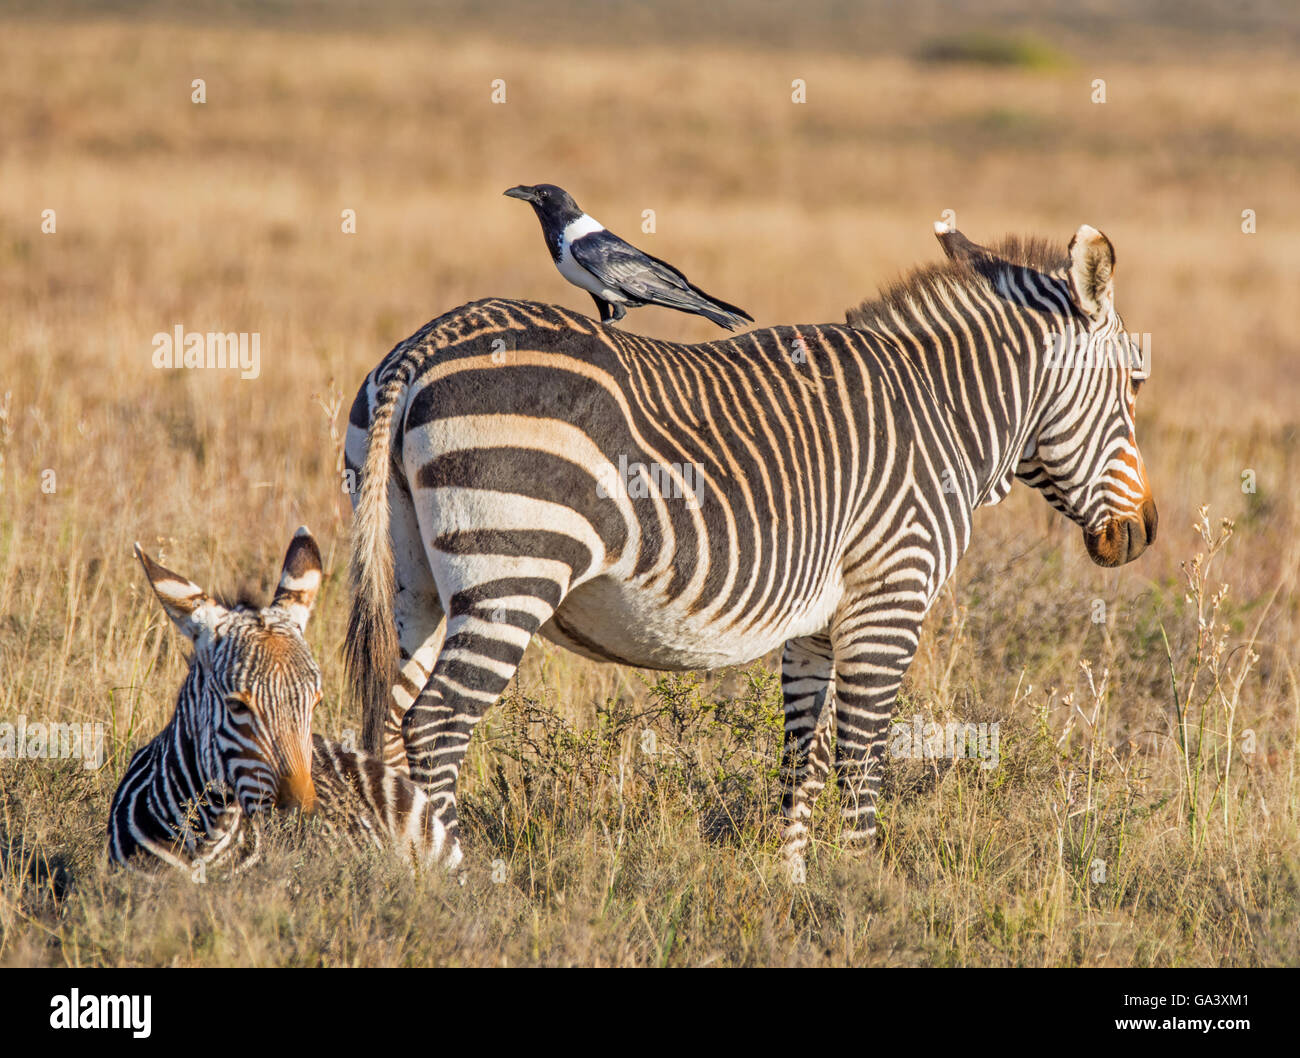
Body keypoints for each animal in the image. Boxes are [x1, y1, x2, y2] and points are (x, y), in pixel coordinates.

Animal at [343, 222, 1156, 870]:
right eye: (1136, 385)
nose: (1143, 534)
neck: (944, 413)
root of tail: (430, 341)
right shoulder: (889, 599)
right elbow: (862, 759)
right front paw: (862, 888)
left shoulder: (816, 628)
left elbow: (801, 761)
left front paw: (796, 885)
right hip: (513, 571)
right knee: (438, 726)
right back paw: (453, 878)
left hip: (415, 583)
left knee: (387, 719)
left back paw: (395, 873)